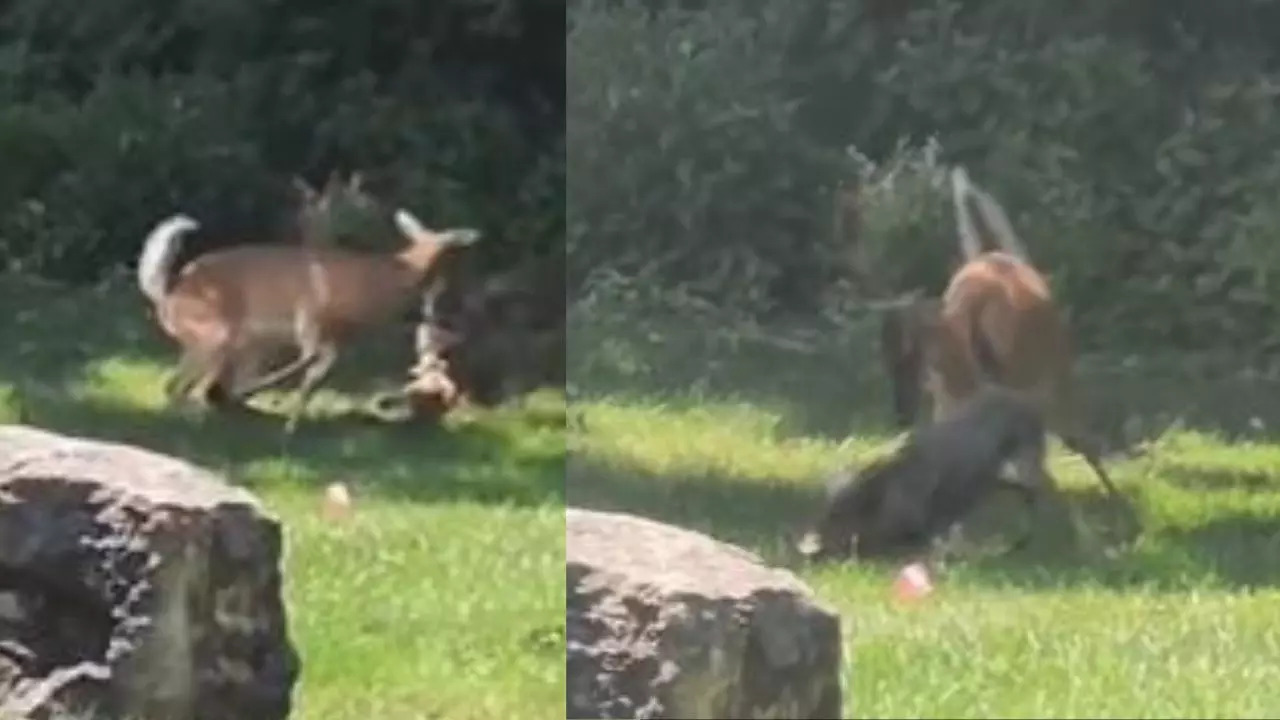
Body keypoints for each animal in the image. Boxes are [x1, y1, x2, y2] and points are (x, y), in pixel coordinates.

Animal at [136, 180, 481, 432]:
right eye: (453, 261)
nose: (449, 310)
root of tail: (166, 294)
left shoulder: (335, 339)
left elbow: (315, 374)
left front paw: (292, 422)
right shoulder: (311, 315)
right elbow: (309, 361)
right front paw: (287, 417)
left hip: (245, 344)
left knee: (197, 389)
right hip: (218, 337)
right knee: (181, 387)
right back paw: (198, 417)